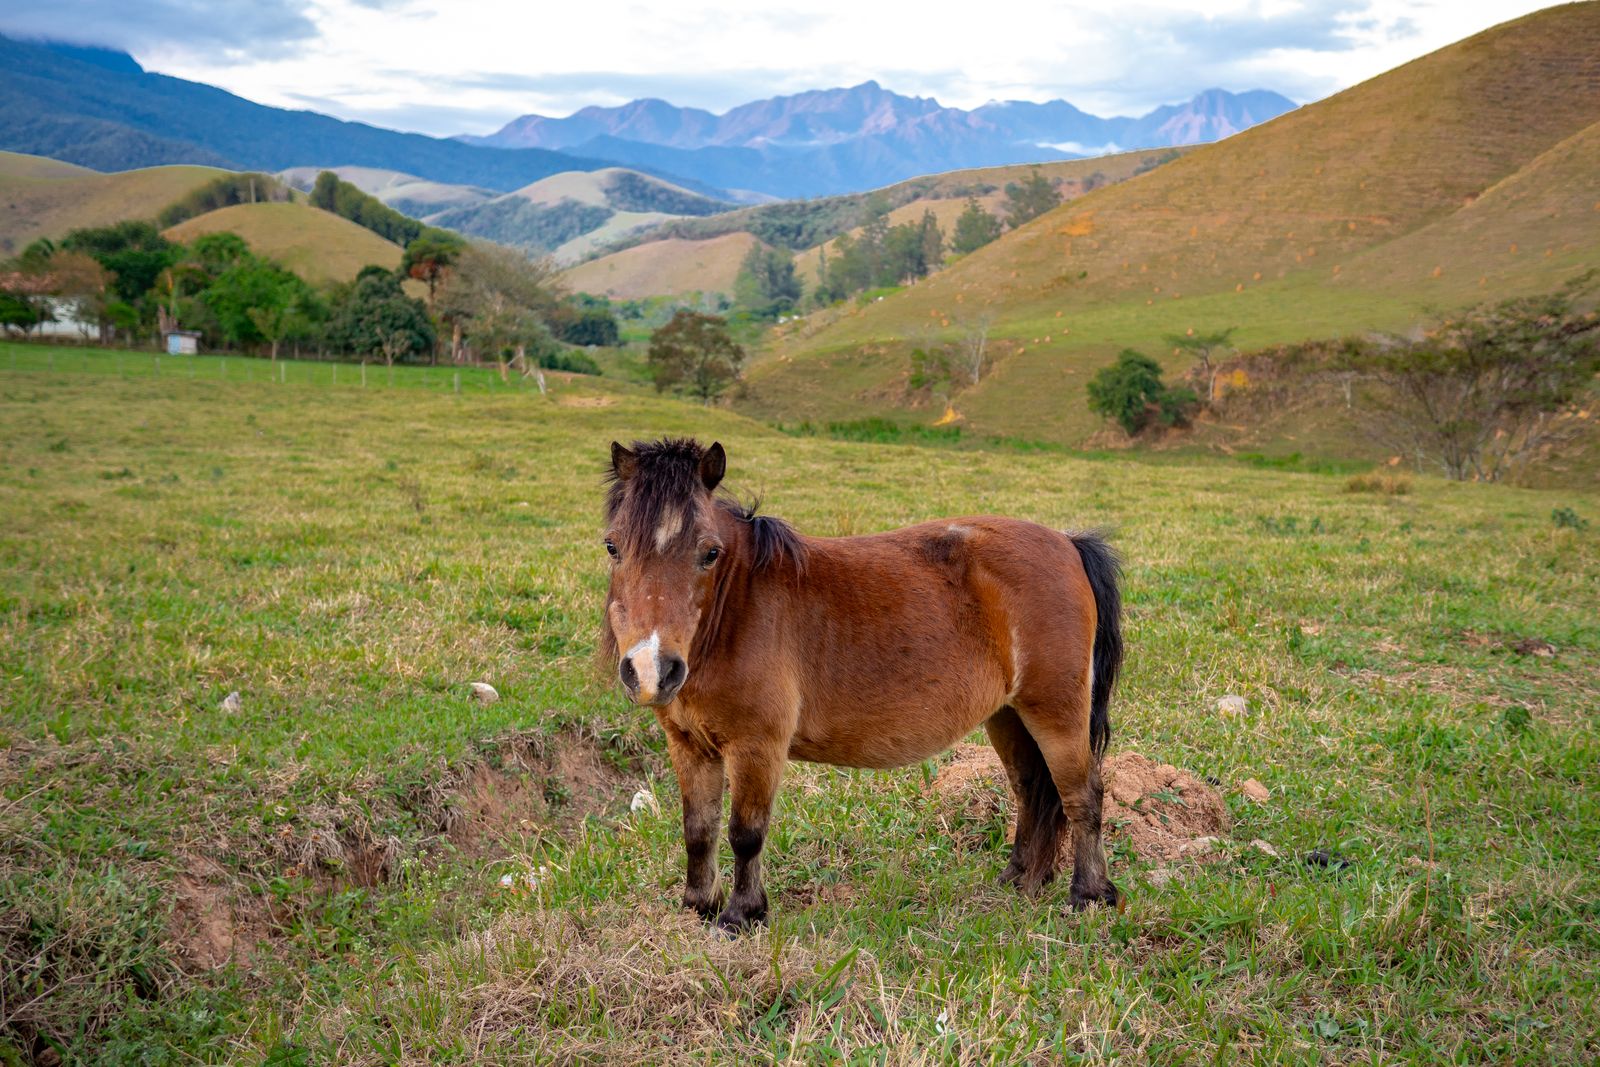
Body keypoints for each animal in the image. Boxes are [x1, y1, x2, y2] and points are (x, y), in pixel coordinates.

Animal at [599, 437, 1123, 932]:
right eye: (612, 546)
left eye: (710, 553)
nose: (651, 668)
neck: (736, 608)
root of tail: (1067, 542)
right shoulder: (689, 745)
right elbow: (698, 830)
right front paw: (697, 907)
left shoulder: (757, 747)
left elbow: (744, 834)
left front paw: (741, 915)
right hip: (1008, 716)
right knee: (1031, 789)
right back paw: (1018, 880)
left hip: (1055, 713)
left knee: (1082, 794)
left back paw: (1089, 894)